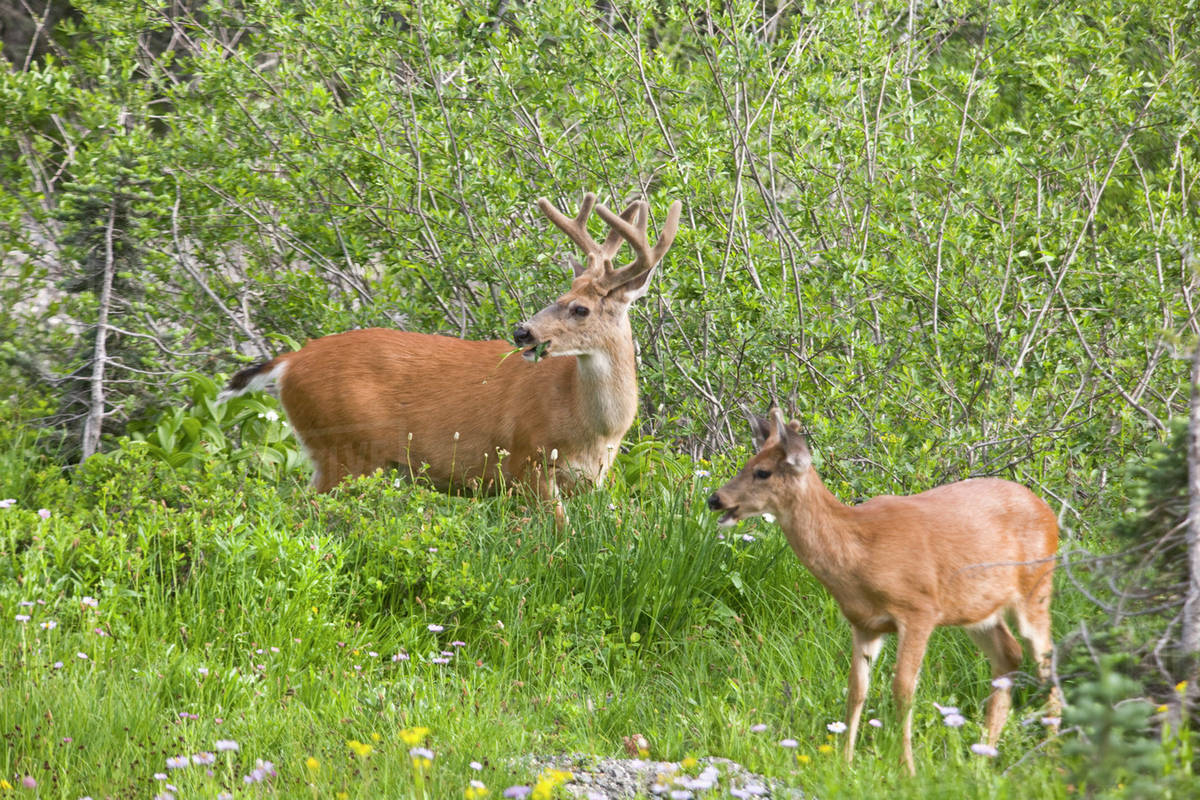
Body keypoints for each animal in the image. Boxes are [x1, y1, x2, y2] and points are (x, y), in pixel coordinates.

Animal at [219, 193, 681, 518]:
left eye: (580, 308)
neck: (592, 428)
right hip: (342, 447)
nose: (522, 332)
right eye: (561, 297)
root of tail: (289, 363)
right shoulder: (525, 463)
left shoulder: (588, 482)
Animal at [707, 406, 1061, 774]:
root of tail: (1048, 512)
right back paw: (982, 756)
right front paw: (845, 762)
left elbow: (903, 690)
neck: (860, 553)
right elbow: (856, 689)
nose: (714, 499)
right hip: (977, 610)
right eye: (747, 462)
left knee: (1047, 662)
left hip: (1037, 590)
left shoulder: (920, 609)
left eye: (762, 472)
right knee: (1009, 654)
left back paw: (1050, 757)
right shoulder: (864, 623)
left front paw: (907, 768)